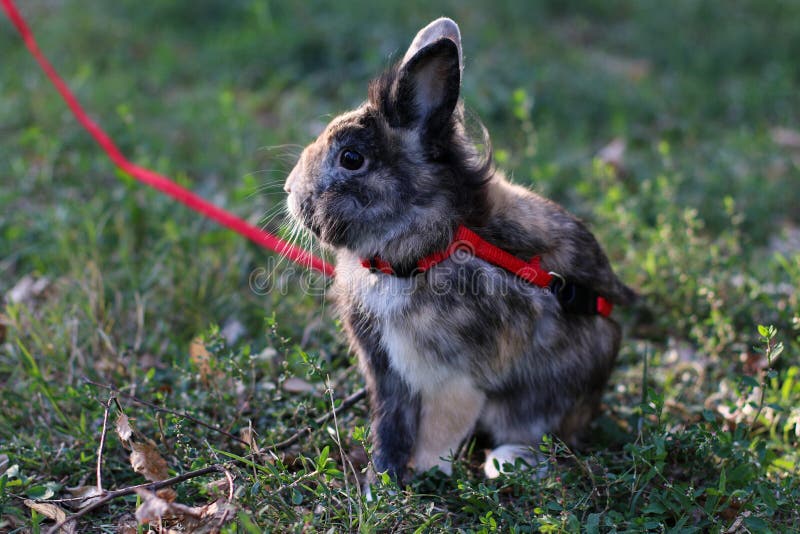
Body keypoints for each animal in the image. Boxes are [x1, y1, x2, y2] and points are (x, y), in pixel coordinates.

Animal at [284, 17, 635, 482]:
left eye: (352, 158)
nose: (290, 191)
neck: (427, 245)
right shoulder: (386, 375)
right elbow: (389, 428)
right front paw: (380, 481)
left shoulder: (452, 379)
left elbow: (438, 434)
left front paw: (420, 475)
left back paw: (507, 461)